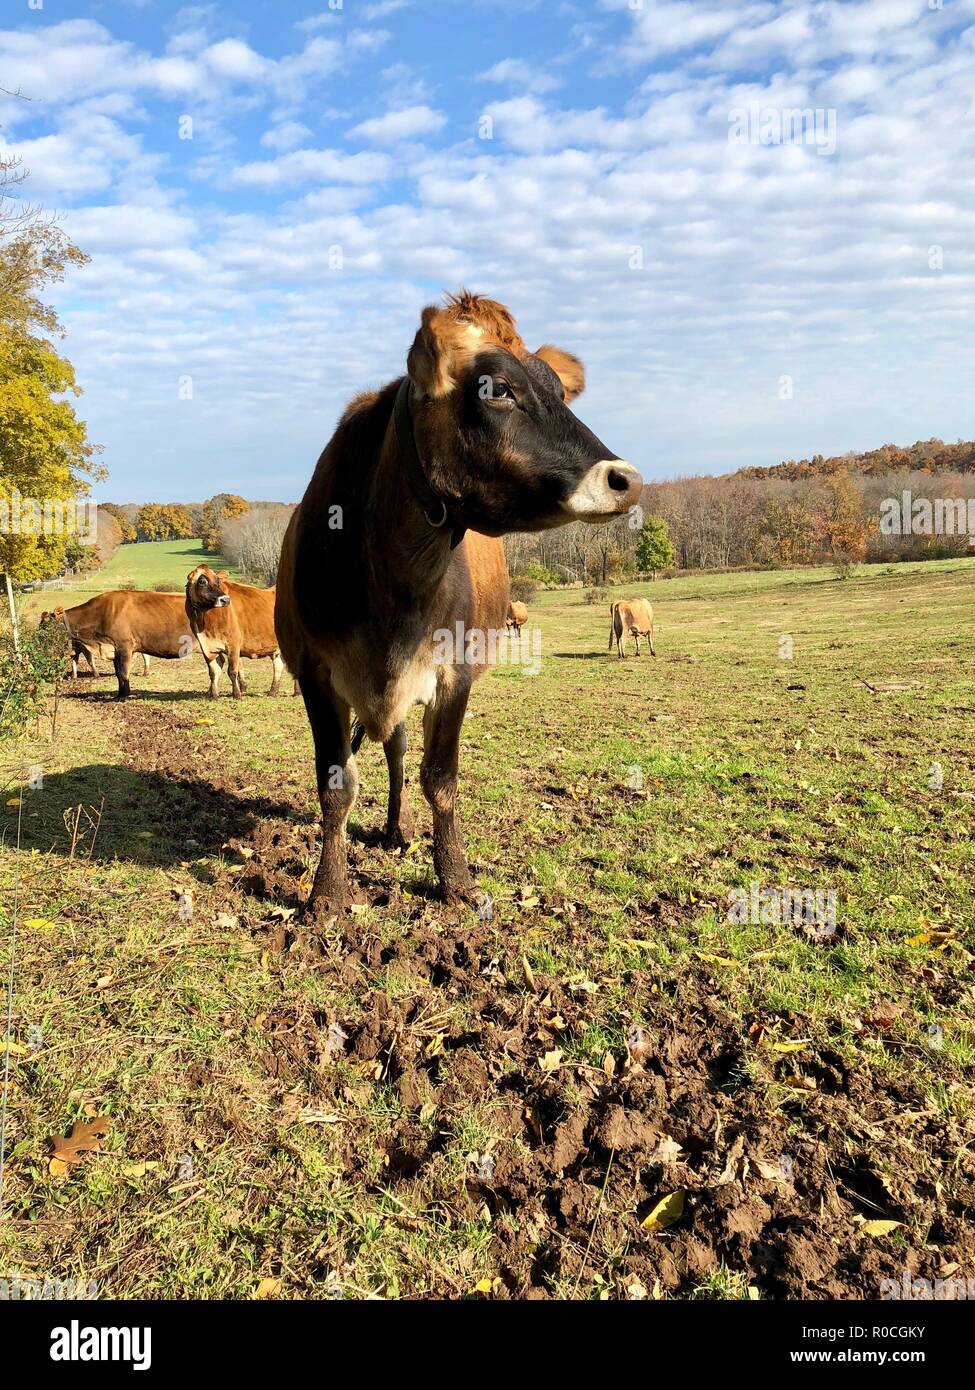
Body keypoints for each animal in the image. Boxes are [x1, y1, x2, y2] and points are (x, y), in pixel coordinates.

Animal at [47, 592, 194, 698]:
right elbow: (118, 673)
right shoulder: (115, 650)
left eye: (46, 625)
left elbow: (124, 673)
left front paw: (124, 695)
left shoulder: (125, 647)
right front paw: (119, 694)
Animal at [184, 567, 285, 699]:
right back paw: (273, 692)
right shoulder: (207, 647)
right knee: (278, 665)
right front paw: (214, 695)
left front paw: (237, 694)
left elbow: (232, 671)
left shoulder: (233, 644)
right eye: (202, 581)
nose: (225, 599)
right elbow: (213, 671)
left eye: (218, 581)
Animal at [275, 290, 643, 918]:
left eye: (558, 391)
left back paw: (398, 830)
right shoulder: (315, 673)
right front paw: (327, 894)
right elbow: (336, 785)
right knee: (392, 753)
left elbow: (440, 779)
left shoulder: (455, 673)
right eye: (496, 389)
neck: (394, 586)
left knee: (400, 756)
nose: (626, 480)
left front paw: (456, 881)